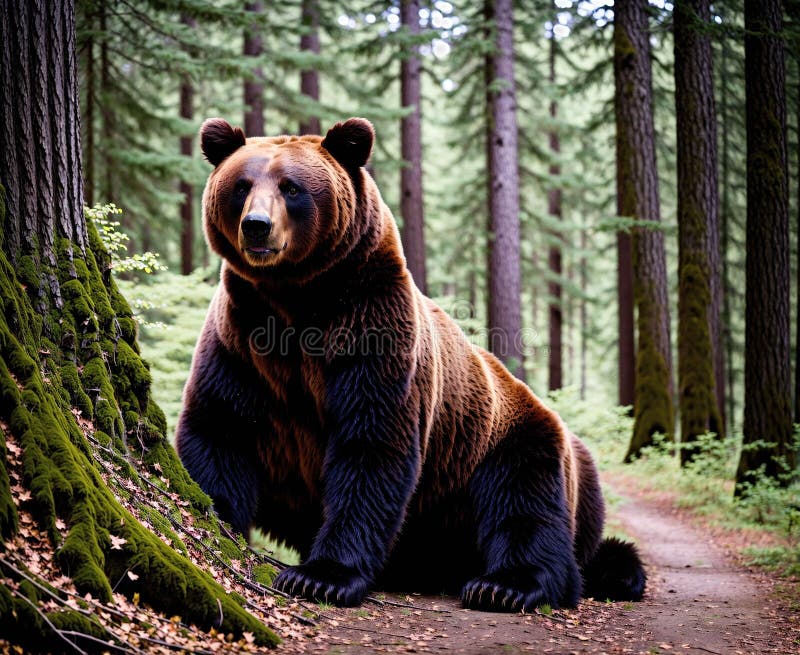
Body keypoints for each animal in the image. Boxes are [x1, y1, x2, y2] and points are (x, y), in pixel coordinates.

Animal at [175, 116, 646, 611]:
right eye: (241, 185)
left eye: (292, 188)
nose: (257, 226)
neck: (296, 300)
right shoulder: (242, 343)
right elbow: (219, 431)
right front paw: (214, 518)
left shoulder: (372, 333)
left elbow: (372, 446)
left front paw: (322, 576)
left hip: (503, 444)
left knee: (527, 508)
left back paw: (506, 584)